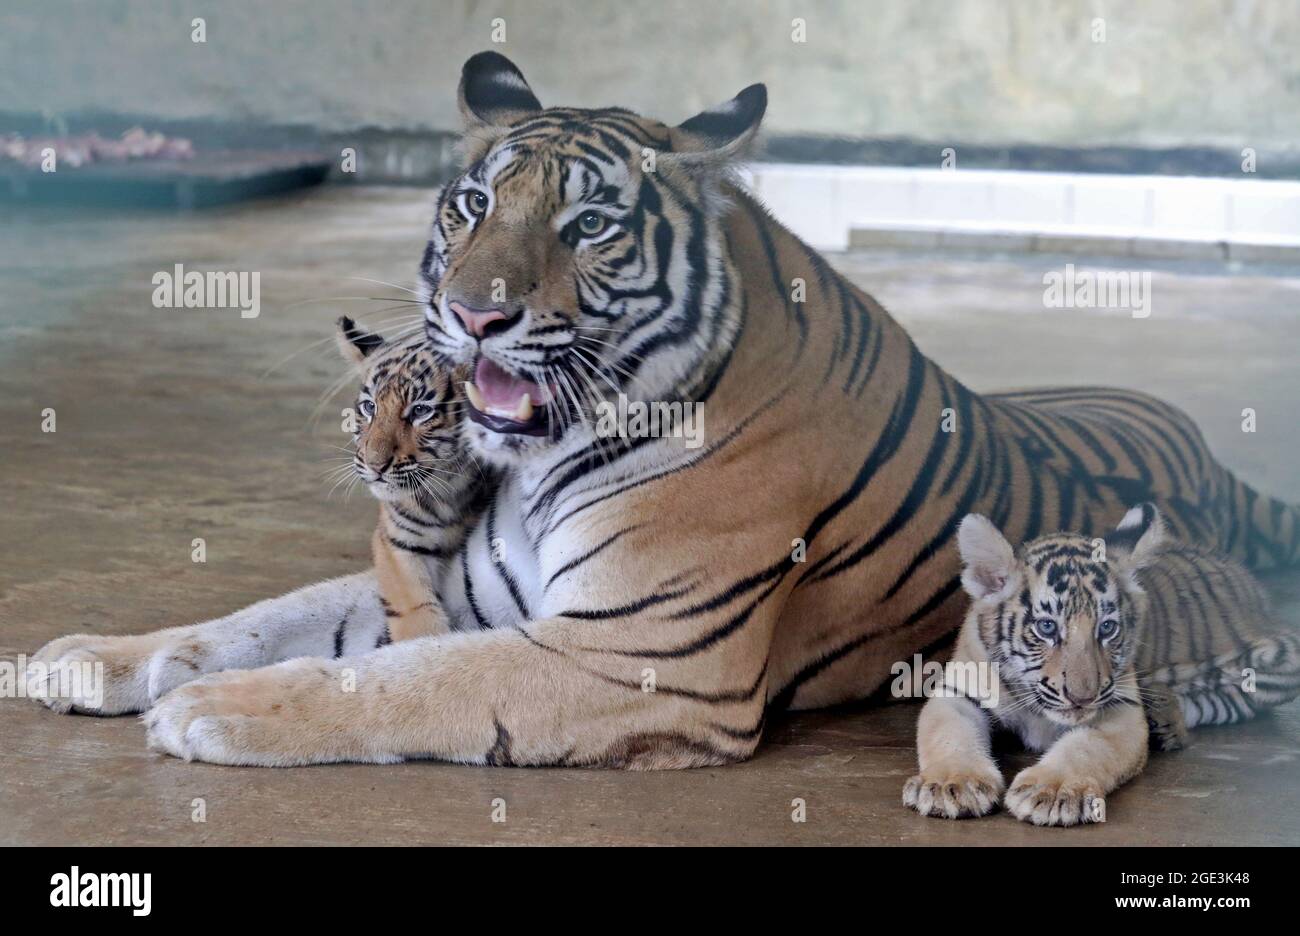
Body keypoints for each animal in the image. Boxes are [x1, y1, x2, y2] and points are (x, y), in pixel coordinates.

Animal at [334, 315, 490, 645]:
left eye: (420, 411)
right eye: (369, 407)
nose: (375, 465)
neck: (449, 492)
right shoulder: (398, 540)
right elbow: (415, 607)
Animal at [905, 504, 1300, 826]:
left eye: (1107, 628)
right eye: (1047, 627)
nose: (1082, 698)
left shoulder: (1119, 708)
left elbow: (1085, 749)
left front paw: (1053, 791)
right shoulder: (957, 694)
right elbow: (948, 735)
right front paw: (952, 784)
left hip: (1277, 658)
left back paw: (1165, 718)